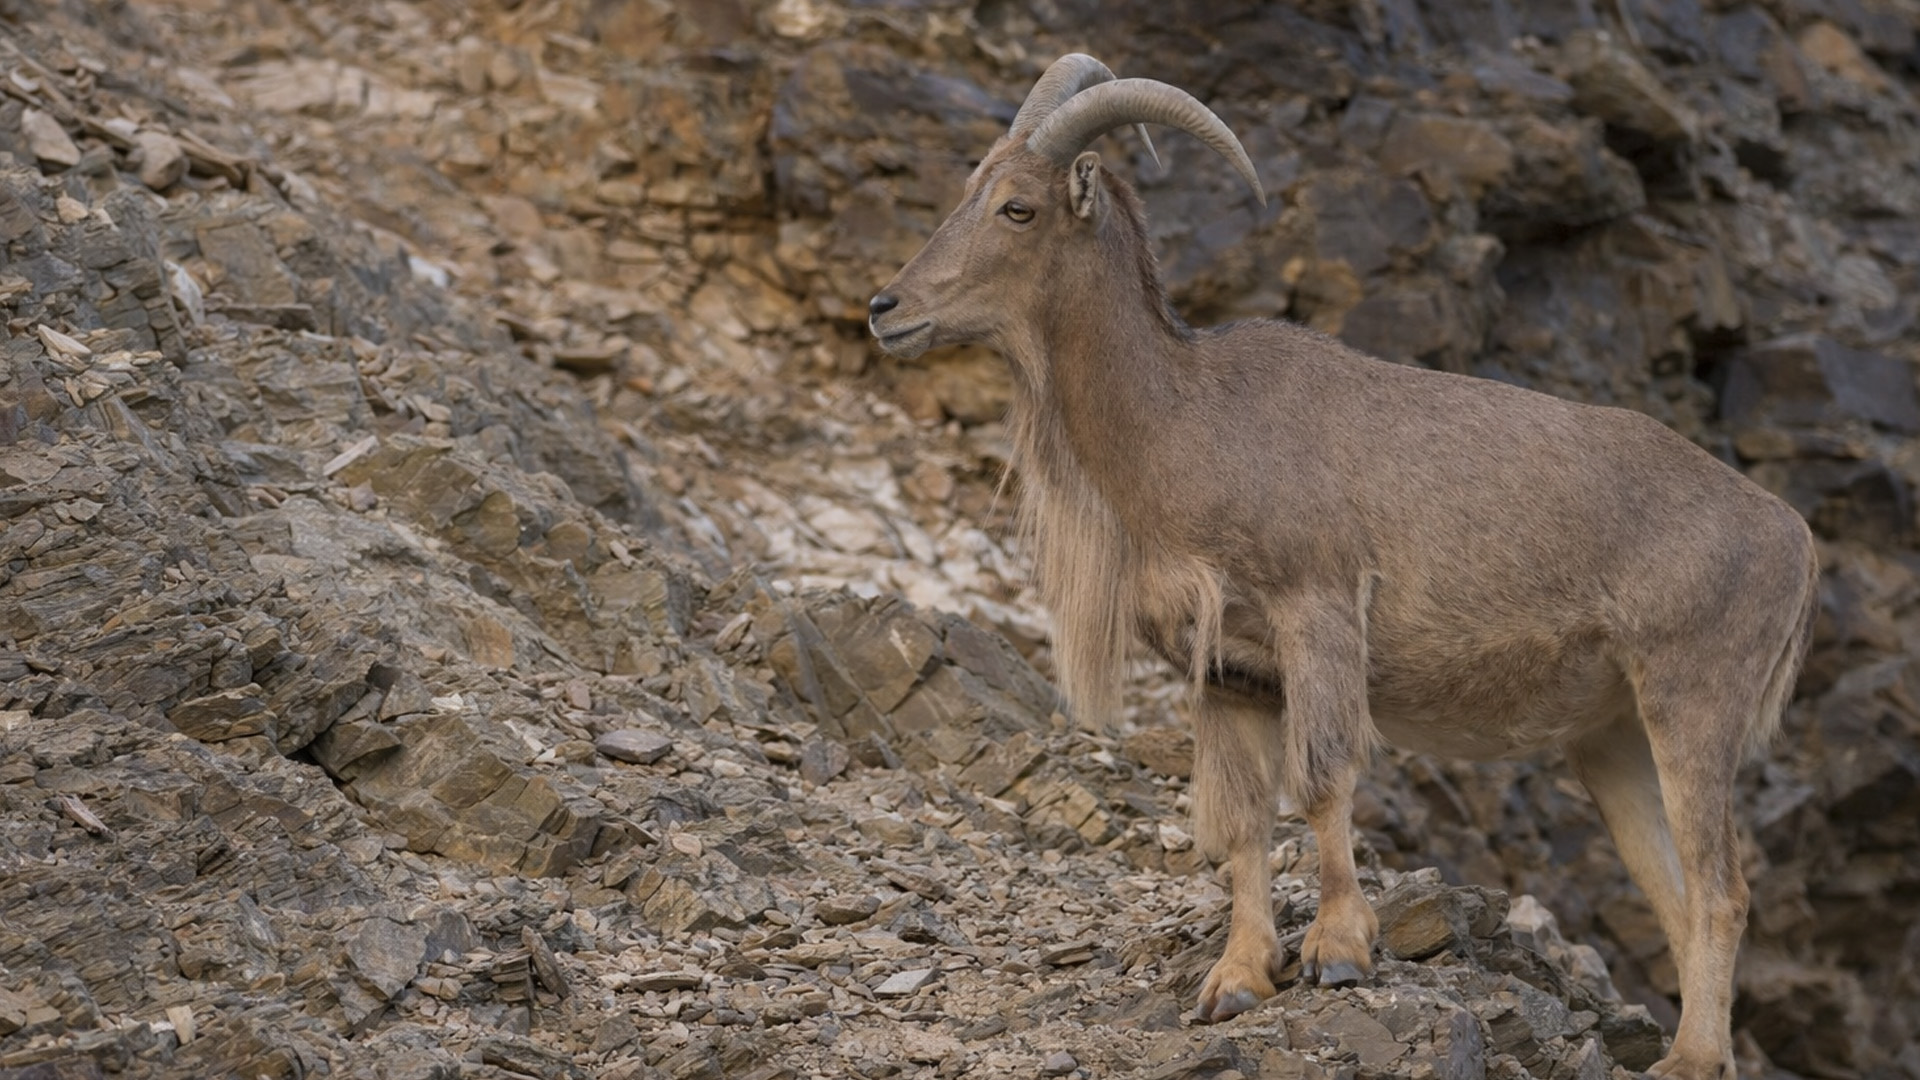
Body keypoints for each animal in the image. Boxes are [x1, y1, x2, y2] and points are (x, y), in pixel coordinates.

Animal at [868, 54, 1819, 1080]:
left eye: (1017, 208)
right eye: (969, 190)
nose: (888, 309)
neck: (1184, 421)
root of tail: (1793, 535)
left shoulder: (1314, 611)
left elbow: (1323, 782)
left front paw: (1338, 950)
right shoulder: (1231, 671)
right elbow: (1243, 822)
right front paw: (1238, 978)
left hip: (1693, 699)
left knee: (1722, 891)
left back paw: (1686, 1059)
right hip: (1613, 737)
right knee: (1678, 896)